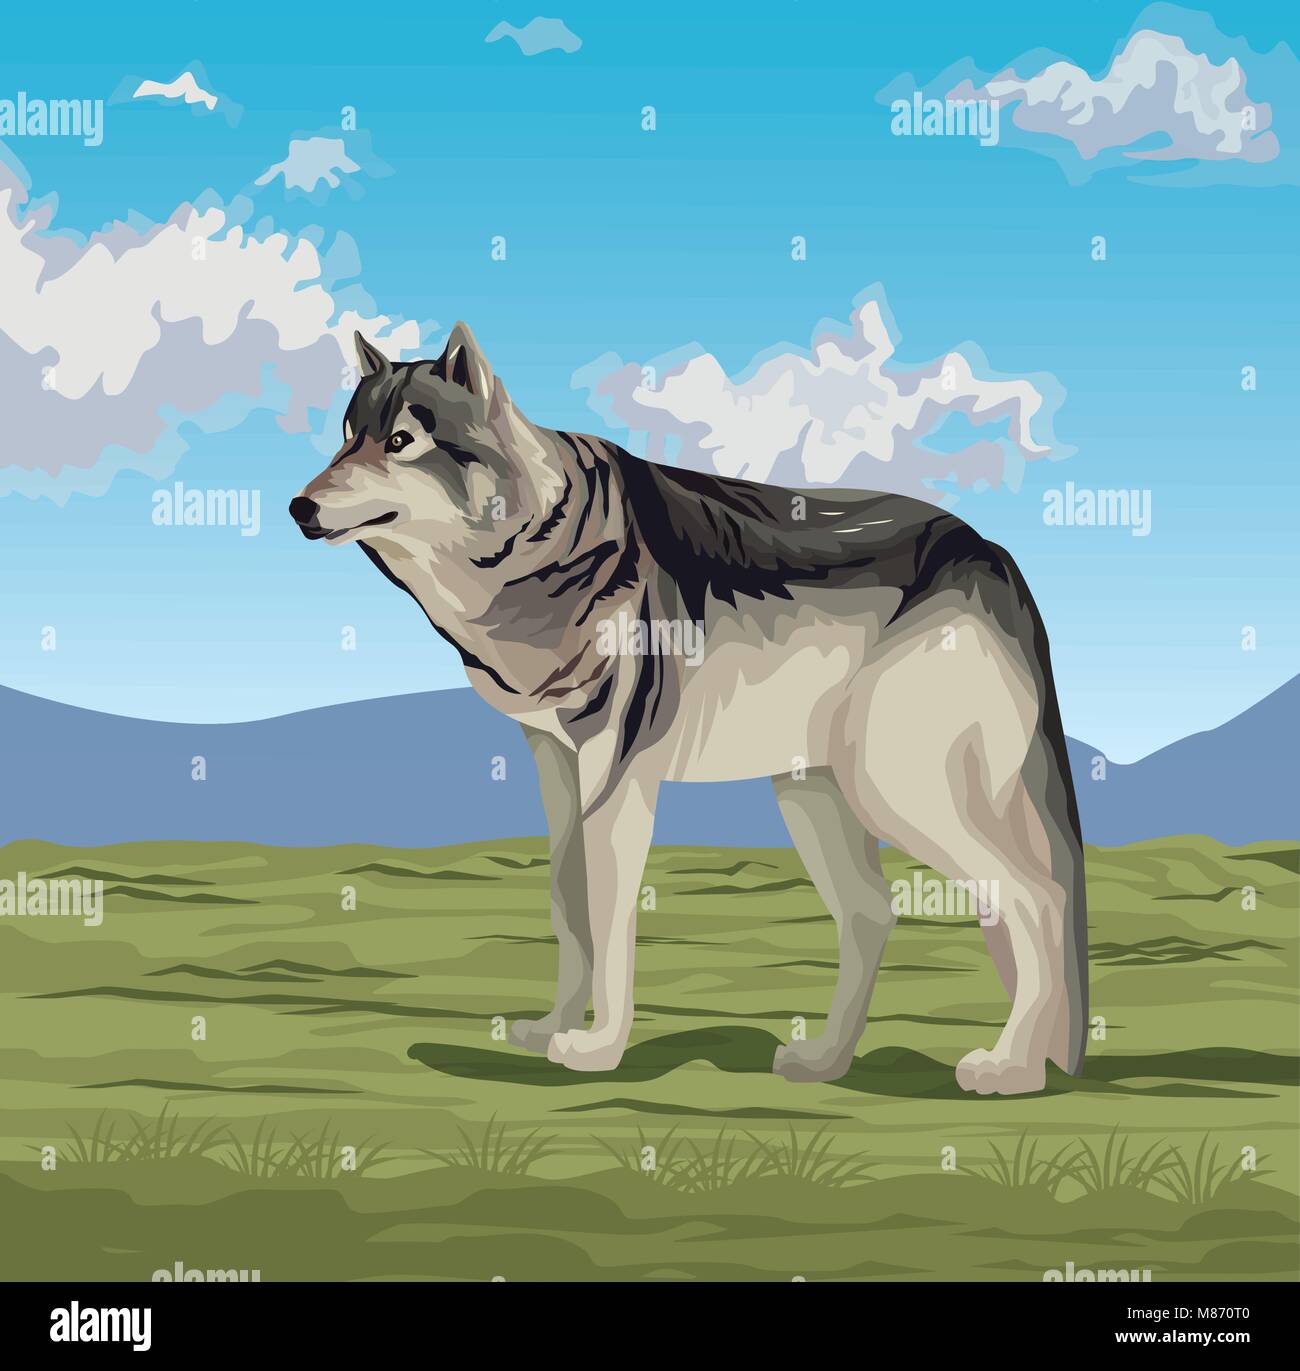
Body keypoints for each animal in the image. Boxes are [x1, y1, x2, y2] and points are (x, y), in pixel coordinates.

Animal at [291, 325, 1088, 1094]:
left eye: (401, 441)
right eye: (345, 436)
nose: (298, 506)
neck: (540, 543)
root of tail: (992, 552)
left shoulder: (615, 777)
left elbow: (609, 916)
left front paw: (597, 1049)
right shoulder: (555, 765)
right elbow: (566, 905)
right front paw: (551, 1030)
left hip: (900, 789)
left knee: (1038, 894)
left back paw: (1011, 1070)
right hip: (816, 794)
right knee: (875, 914)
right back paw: (826, 1061)